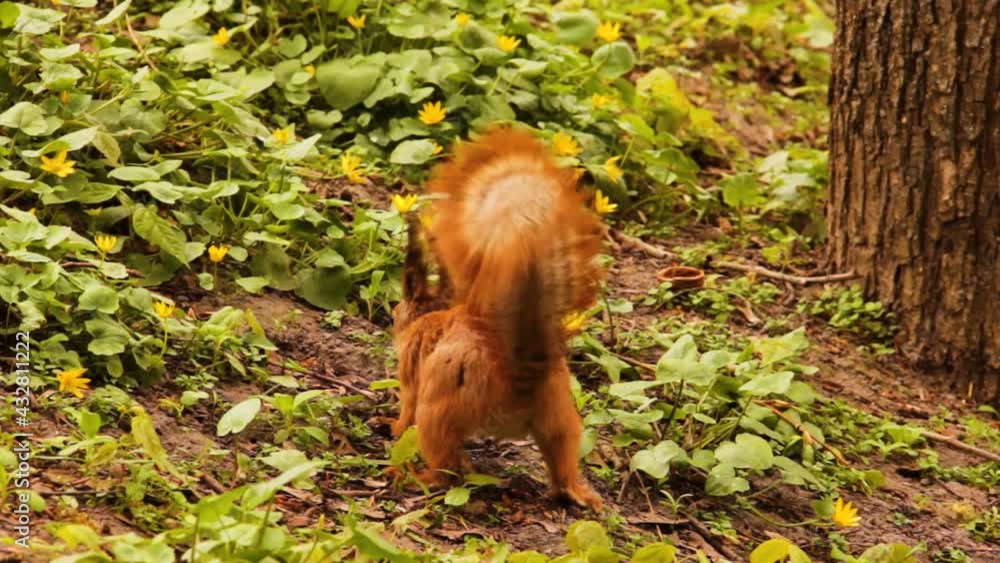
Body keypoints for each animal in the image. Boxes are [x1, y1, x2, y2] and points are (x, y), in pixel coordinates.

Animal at [389, 126, 604, 510]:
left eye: (395, 313)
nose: (393, 317)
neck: (433, 314)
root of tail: (519, 374)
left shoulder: (411, 372)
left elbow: (406, 408)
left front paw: (392, 427)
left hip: (440, 407)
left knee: (444, 467)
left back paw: (418, 476)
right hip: (560, 415)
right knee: (563, 455)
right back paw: (574, 492)